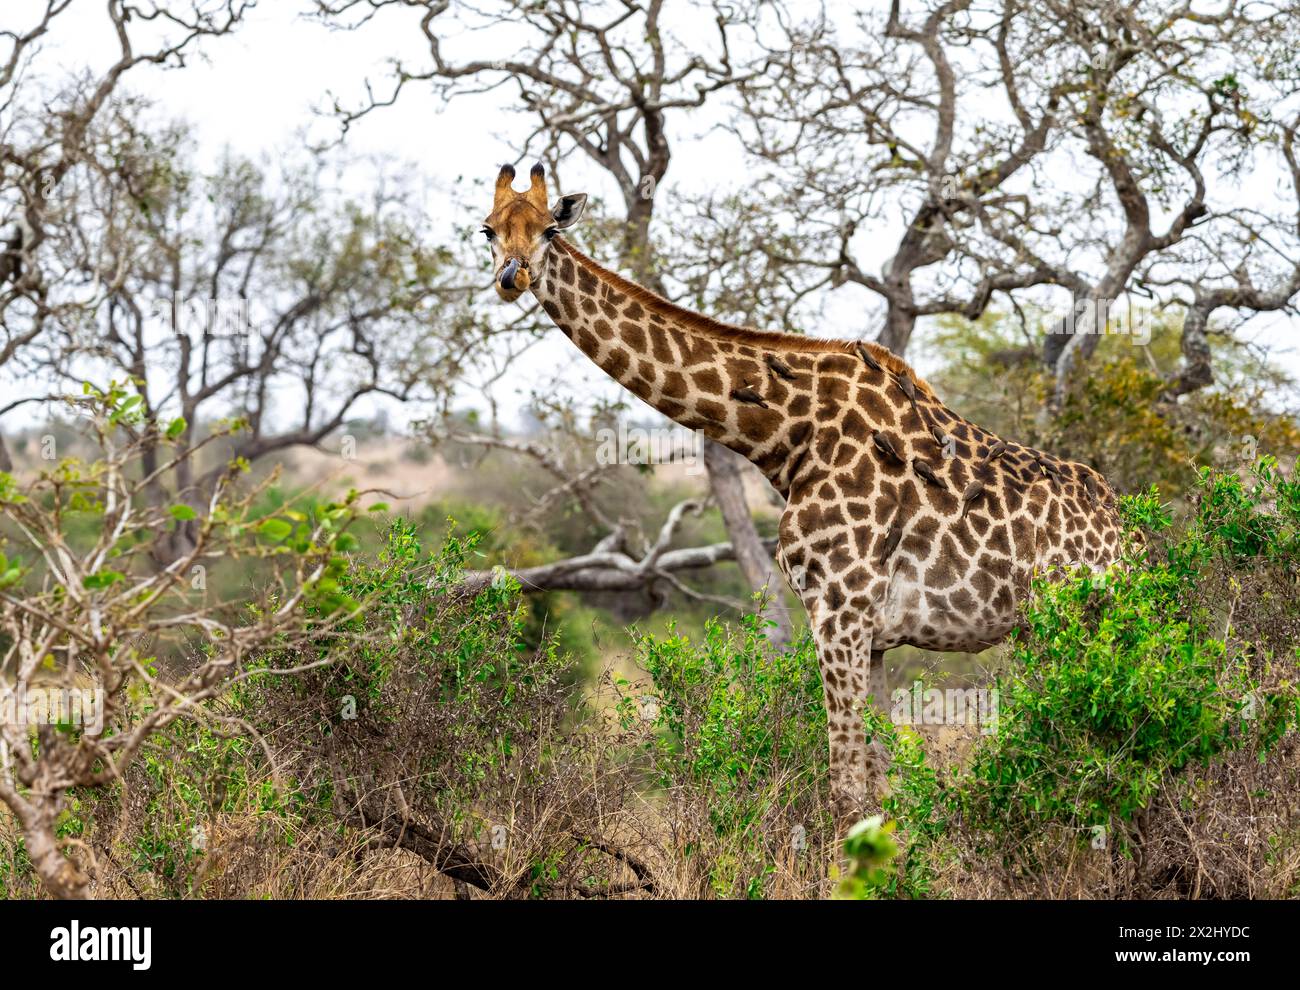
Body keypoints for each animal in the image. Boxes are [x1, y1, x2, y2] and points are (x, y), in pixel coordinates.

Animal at [481, 162, 1126, 820]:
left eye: (550, 230)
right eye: (488, 230)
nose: (513, 277)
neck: (785, 438)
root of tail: (1130, 535)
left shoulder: (839, 611)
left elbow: (846, 786)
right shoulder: (872, 634)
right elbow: (881, 782)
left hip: (1073, 624)